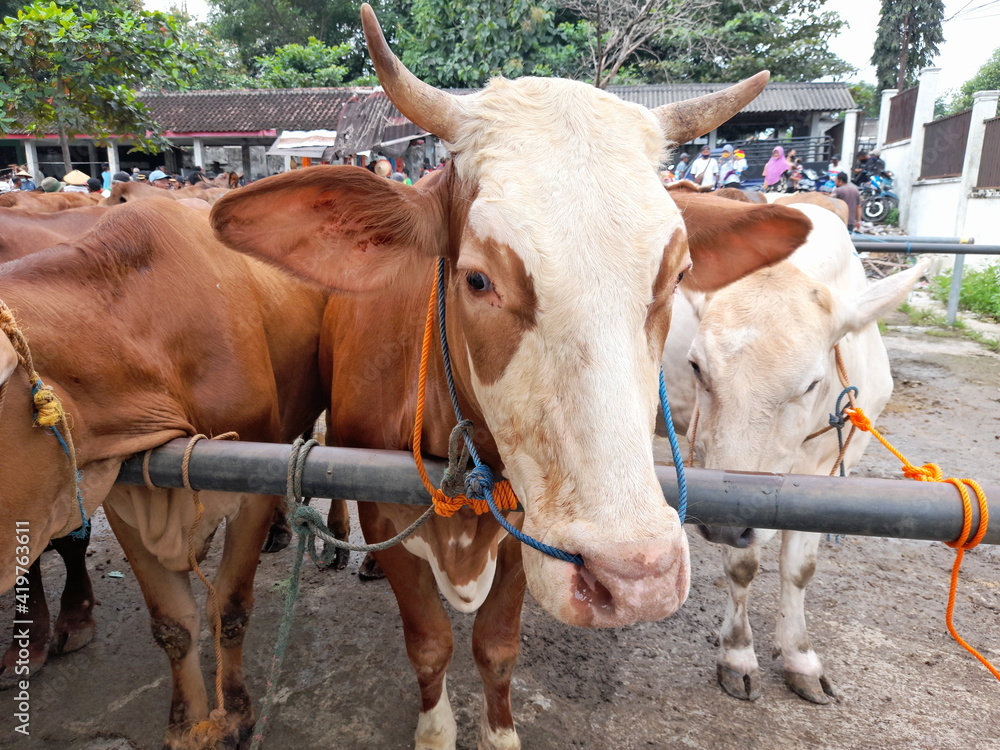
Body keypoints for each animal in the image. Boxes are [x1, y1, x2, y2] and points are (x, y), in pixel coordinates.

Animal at [0, 197, 327, 746]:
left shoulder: (250, 492)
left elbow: (229, 609)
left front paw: (234, 716)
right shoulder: (124, 495)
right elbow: (172, 624)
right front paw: (187, 724)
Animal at [207, 6, 812, 747]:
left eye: (676, 275)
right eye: (477, 279)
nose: (636, 580)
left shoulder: (534, 528)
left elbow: (496, 646)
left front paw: (498, 731)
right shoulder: (389, 509)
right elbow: (429, 643)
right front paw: (435, 730)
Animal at [661, 202, 927, 703]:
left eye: (810, 383)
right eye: (696, 366)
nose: (725, 527)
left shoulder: (826, 470)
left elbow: (800, 568)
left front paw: (800, 656)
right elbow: (742, 564)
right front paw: (738, 655)